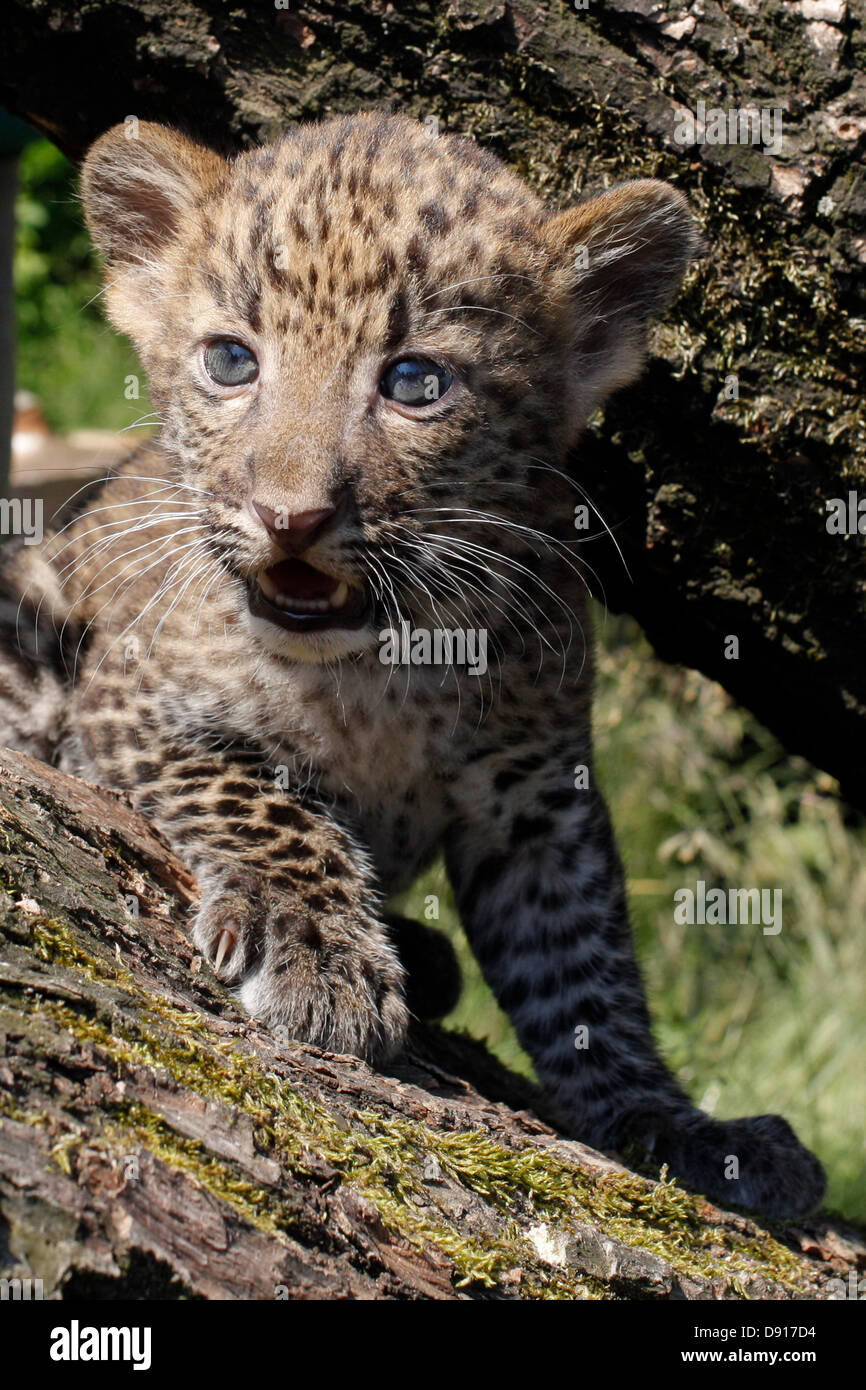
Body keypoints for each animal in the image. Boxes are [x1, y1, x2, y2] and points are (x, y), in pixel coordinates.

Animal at [0, 111, 825, 1219]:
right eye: (231, 361)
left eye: (414, 383)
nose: (289, 517)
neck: (376, 665)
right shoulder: (128, 708)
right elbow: (262, 800)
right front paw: (317, 952)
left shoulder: (537, 797)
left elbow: (587, 973)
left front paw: (678, 1123)